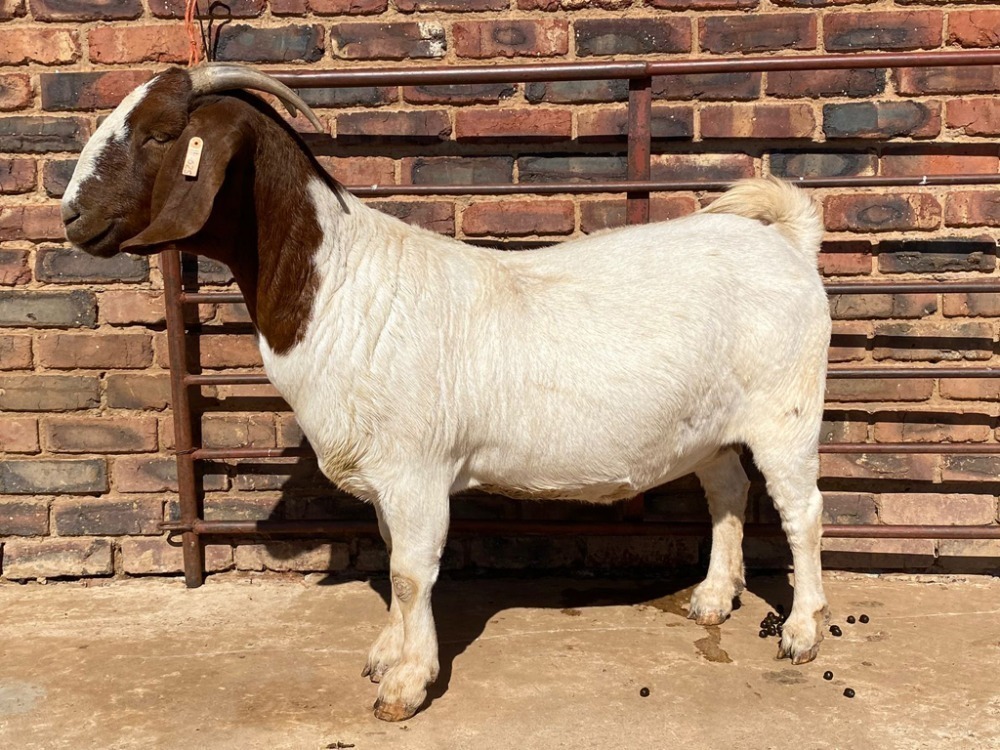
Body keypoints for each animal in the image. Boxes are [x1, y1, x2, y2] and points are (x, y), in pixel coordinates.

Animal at [63, 63, 832, 722]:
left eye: (161, 134)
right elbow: (389, 562)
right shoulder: (384, 475)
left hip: (787, 413)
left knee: (802, 512)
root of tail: (789, 244)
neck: (341, 286)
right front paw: (385, 654)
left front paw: (406, 683)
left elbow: (410, 572)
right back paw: (713, 598)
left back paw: (802, 630)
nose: (69, 217)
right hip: (713, 426)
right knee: (727, 491)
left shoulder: (415, 469)